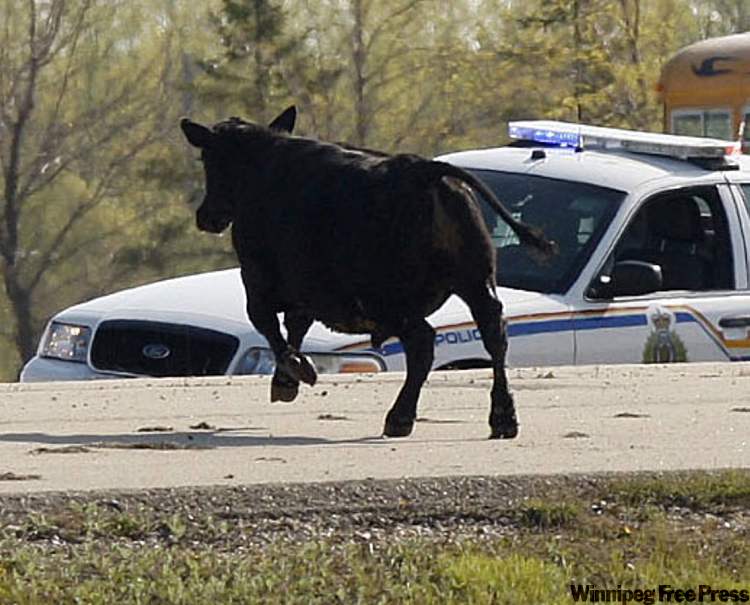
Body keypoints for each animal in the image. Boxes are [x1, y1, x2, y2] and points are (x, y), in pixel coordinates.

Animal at [180, 106, 554, 439]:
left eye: (208, 160)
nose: (206, 216)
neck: (261, 166)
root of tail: (425, 171)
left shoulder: (258, 278)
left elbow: (269, 325)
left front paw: (295, 371)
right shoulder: (306, 289)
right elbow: (295, 325)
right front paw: (287, 378)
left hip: (391, 300)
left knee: (423, 342)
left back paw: (400, 417)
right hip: (475, 281)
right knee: (493, 334)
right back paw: (503, 417)